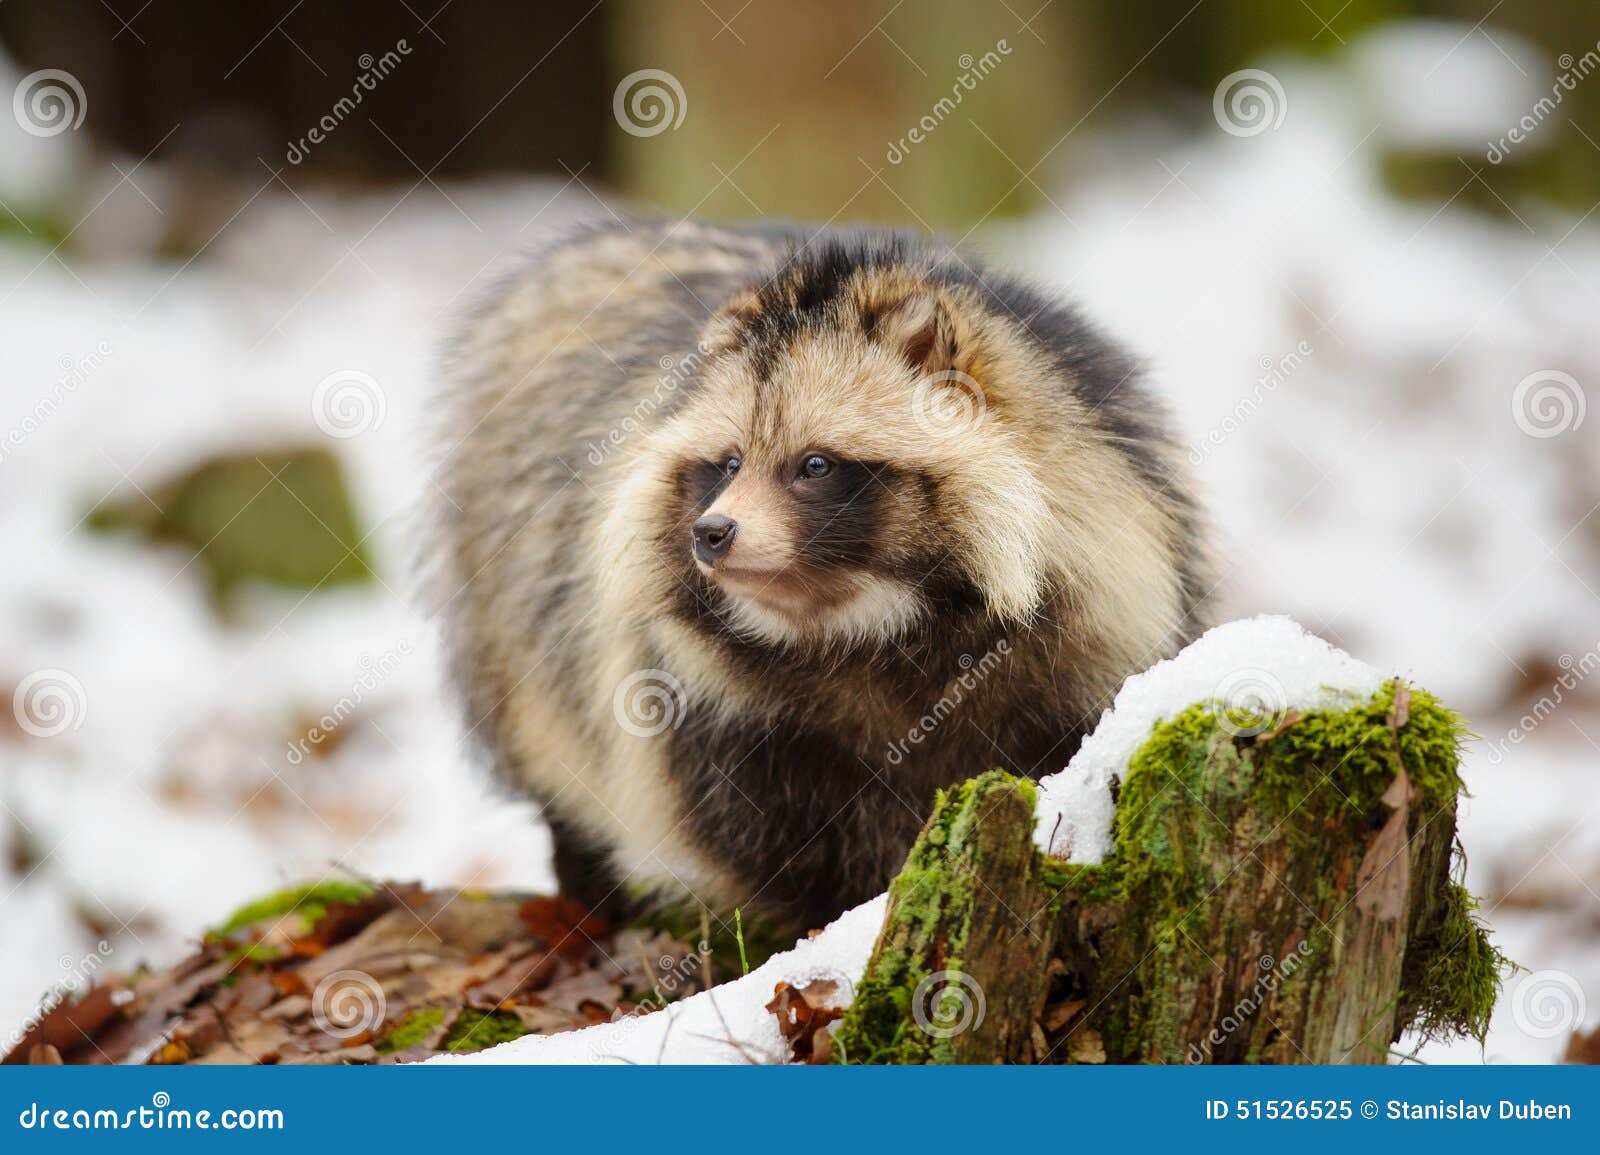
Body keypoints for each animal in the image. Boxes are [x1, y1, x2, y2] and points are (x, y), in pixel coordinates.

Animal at [430, 218, 1216, 933]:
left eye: (815, 464)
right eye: (728, 462)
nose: (710, 534)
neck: (860, 624)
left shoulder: (1084, 632)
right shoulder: (717, 710)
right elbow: (771, 834)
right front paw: (831, 921)